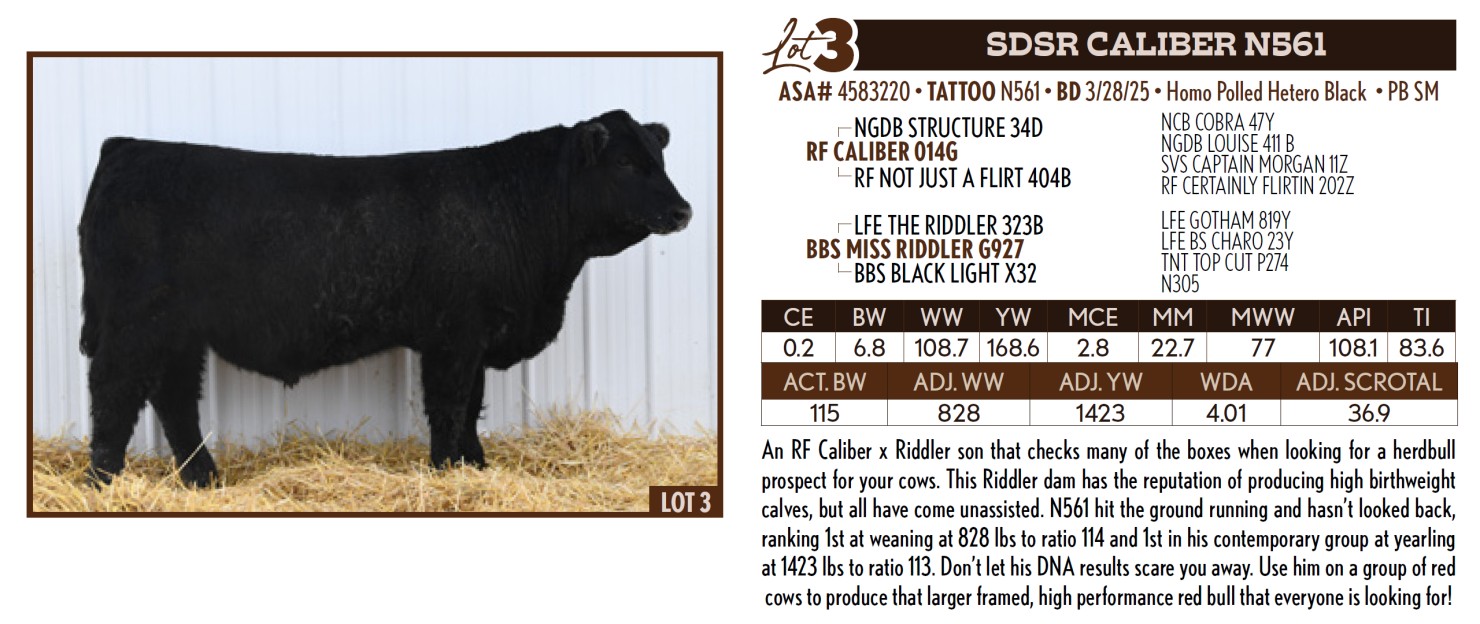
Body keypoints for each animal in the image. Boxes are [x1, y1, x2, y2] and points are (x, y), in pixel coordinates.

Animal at [76, 109, 691, 487]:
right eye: (626, 163)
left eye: (659, 159)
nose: (683, 210)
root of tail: (124, 147)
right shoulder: (454, 334)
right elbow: (449, 406)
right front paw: (447, 471)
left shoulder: (477, 333)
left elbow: (471, 404)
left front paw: (474, 467)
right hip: (136, 323)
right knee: (115, 391)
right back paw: (103, 481)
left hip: (178, 331)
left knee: (174, 396)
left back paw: (203, 479)